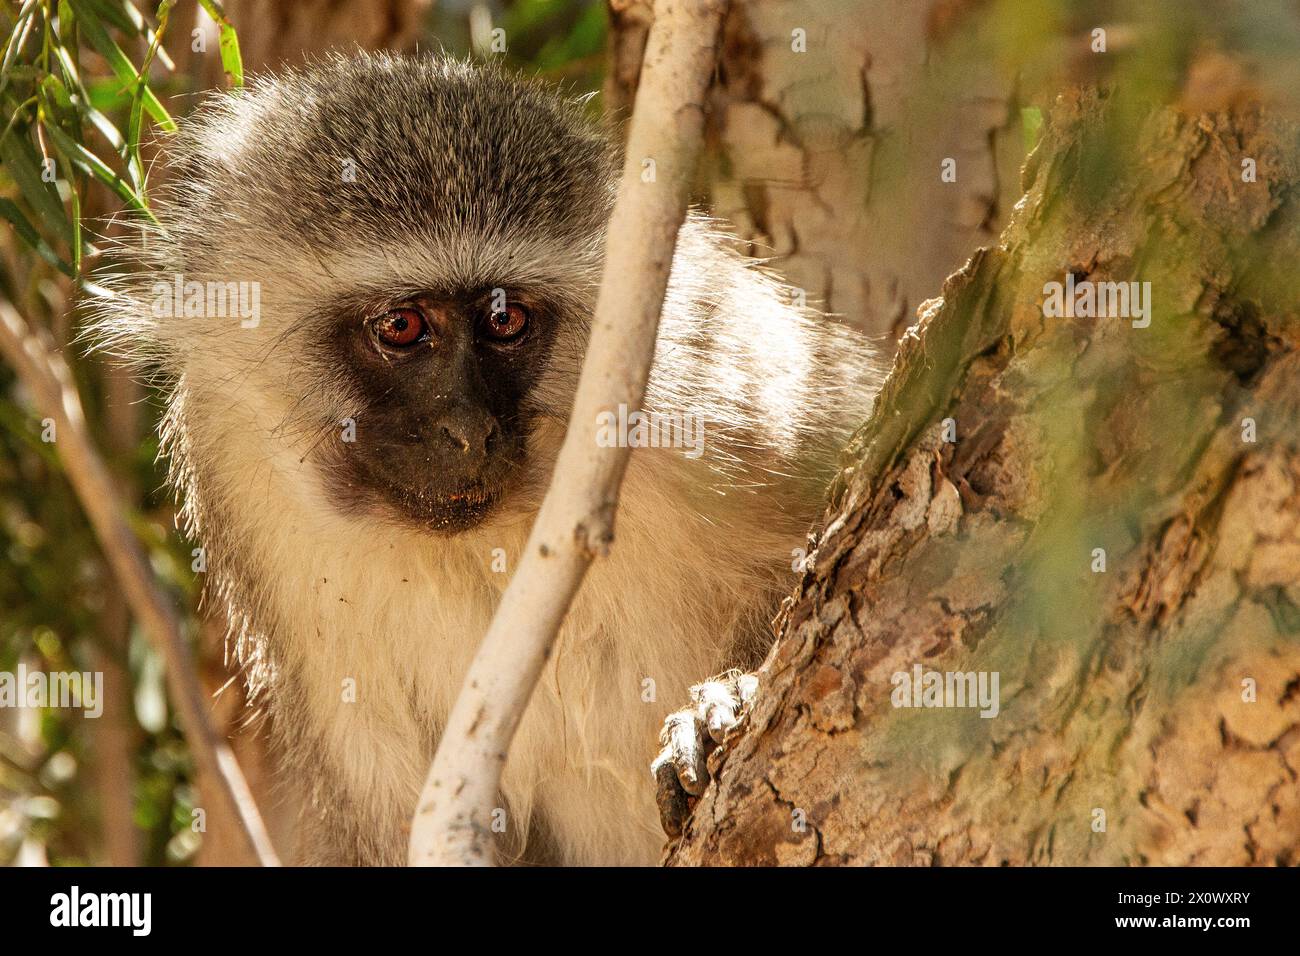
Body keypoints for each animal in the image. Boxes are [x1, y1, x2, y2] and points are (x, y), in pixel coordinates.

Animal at [90, 52, 882, 866]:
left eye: (507, 320)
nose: (468, 430)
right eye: (402, 326)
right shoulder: (236, 458)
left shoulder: (703, 388)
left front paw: (719, 703)